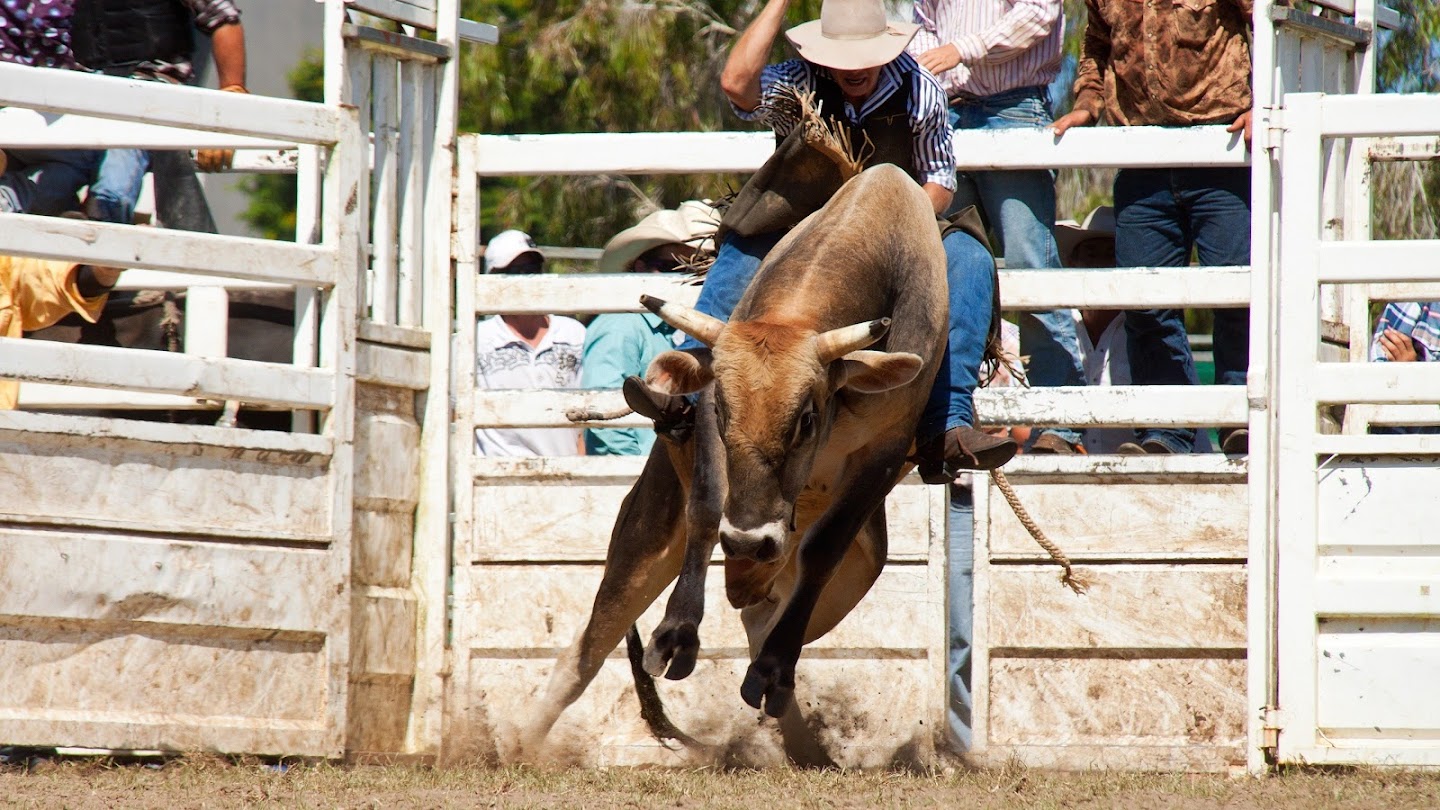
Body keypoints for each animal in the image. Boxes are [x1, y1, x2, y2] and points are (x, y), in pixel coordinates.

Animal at [524, 165, 950, 755]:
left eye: (807, 417)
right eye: (726, 408)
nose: (748, 542)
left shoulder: (886, 451)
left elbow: (823, 548)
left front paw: (773, 673)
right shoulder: (707, 422)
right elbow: (706, 508)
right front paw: (677, 635)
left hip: (851, 576)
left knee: (764, 622)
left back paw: (800, 737)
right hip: (643, 537)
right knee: (590, 646)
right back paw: (513, 744)